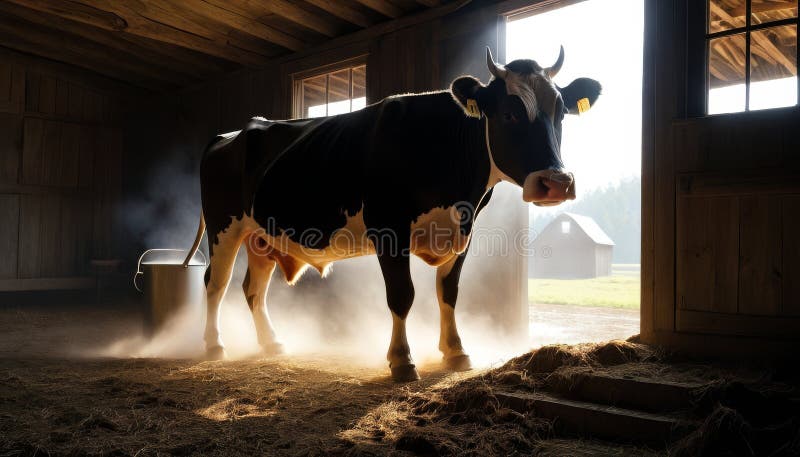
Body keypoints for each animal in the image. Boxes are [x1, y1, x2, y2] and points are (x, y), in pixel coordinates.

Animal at [182, 48, 601, 382]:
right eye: (509, 114)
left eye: (561, 113)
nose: (556, 182)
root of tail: (231, 134)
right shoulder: (389, 229)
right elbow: (403, 295)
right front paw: (402, 360)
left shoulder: (464, 233)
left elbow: (449, 293)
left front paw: (456, 351)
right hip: (223, 227)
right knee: (215, 283)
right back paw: (214, 345)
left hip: (262, 235)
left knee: (253, 288)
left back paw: (271, 342)